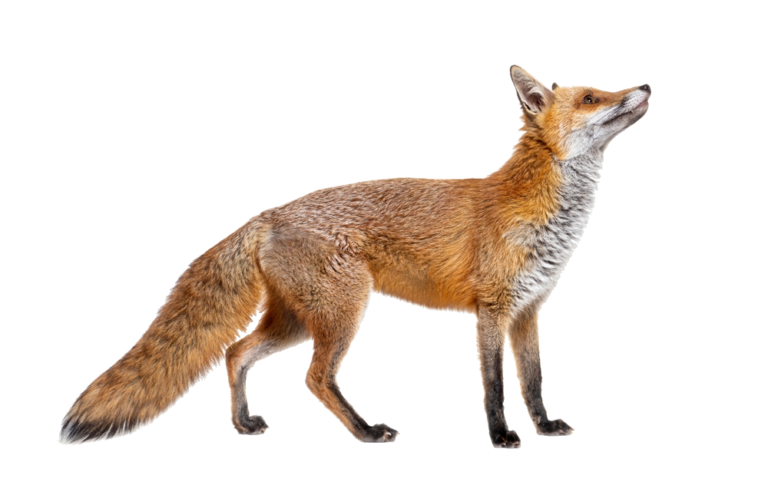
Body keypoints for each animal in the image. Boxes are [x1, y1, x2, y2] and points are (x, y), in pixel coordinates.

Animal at [60, 65, 651, 448]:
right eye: (592, 97)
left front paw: (545, 427)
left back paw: (244, 424)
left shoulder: (528, 312)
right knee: (314, 378)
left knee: (236, 353)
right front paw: (502, 435)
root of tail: (267, 215)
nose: (644, 85)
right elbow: (494, 385)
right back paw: (365, 432)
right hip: (344, 312)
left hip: (297, 320)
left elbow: (532, 382)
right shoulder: (491, 310)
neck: (544, 216)